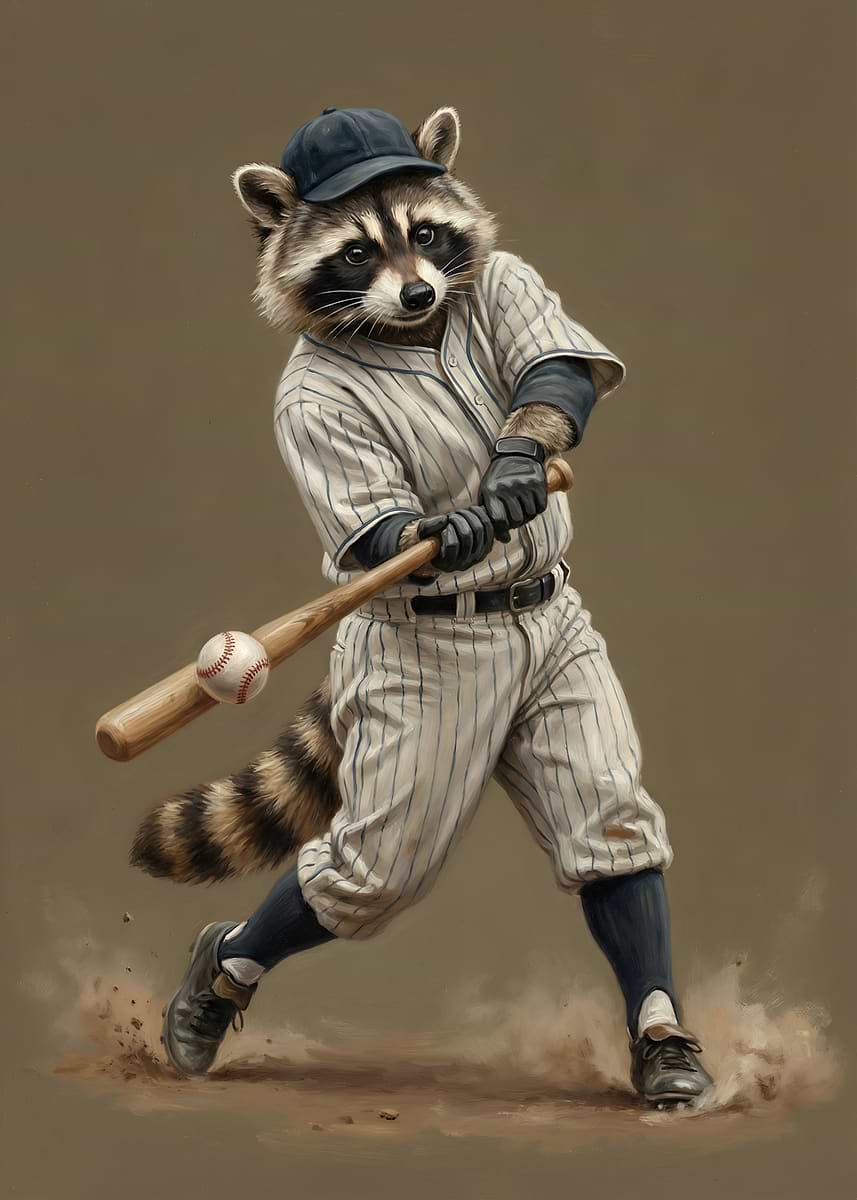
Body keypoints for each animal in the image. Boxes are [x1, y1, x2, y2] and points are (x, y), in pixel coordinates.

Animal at [130, 107, 570, 885]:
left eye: (424, 234)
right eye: (356, 254)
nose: (418, 294)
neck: (412, 332)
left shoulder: (503, 278)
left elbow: (553, 364)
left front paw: (519, 465)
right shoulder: (307, 401)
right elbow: (373, 523)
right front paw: (446, 530)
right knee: (381, 857)